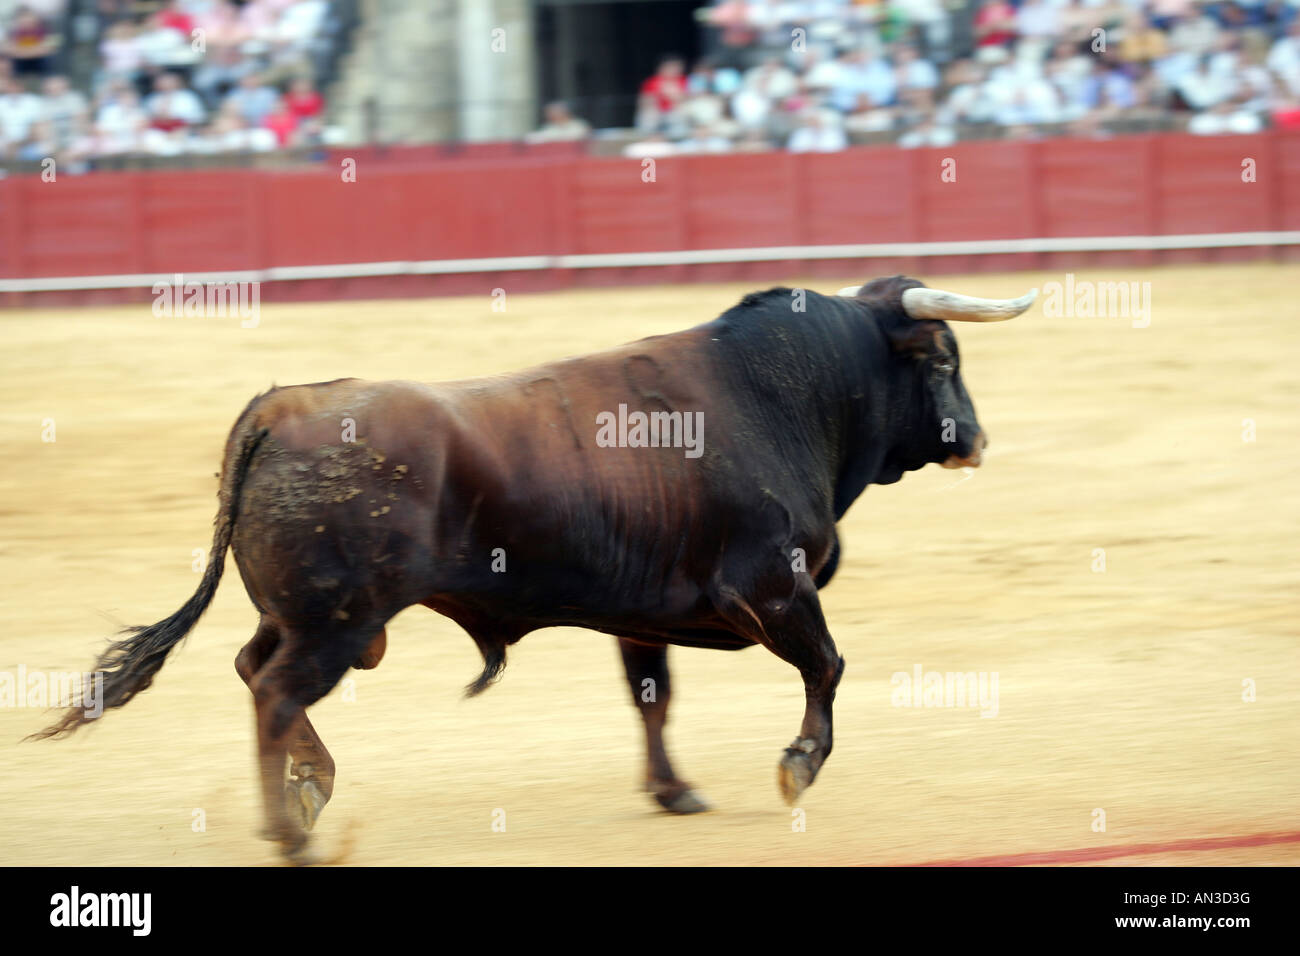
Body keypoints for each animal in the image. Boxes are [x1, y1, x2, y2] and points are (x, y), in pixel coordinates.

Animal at [36, 275, 1035, 862]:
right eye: (943, 357)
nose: (981, 441)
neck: (782, 393)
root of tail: (281, 407)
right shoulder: (772, 588)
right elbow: (827, 665)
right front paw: (798, 765)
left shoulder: (648, 610)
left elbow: (653, 697)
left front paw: (675, 792)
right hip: (340, 626)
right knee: (277, 691)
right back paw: (293, 832)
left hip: (305, 616)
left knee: (254, 671)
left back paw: (309, 790)